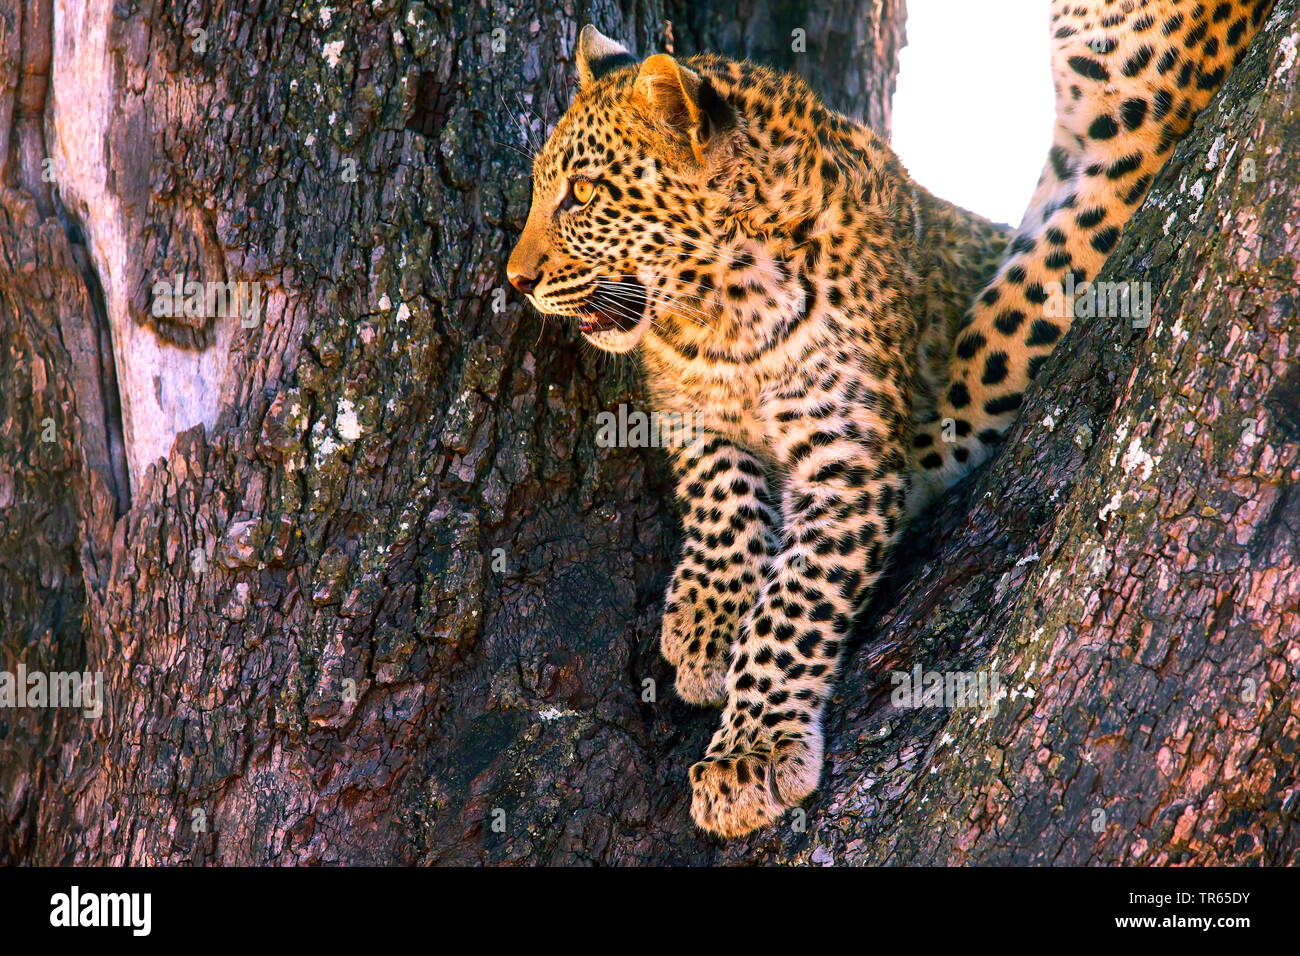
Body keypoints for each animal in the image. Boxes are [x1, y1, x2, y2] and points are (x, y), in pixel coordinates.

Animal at [507, 1, 1273, 839]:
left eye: (581, 193)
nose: (515, 279)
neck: (720, 310)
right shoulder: (689, 412)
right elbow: (721, 502)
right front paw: (706, 628)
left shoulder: (847, 456)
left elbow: (795, 607)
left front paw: (750, 755)